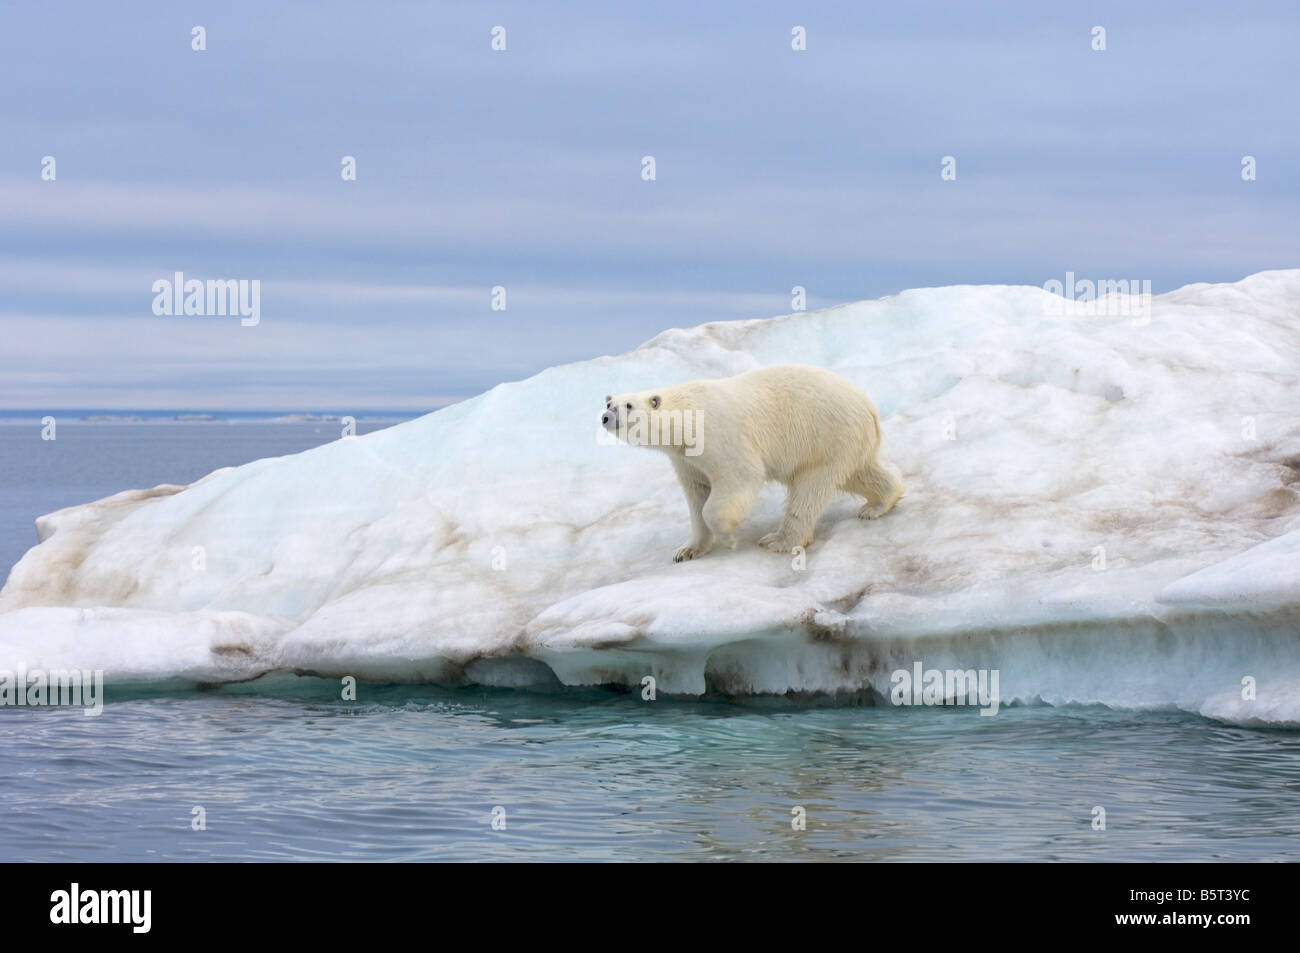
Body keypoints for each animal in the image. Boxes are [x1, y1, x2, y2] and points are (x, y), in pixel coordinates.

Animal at [601, 364, 902, 561]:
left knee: (809, 489)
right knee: (859, 472)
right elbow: (697, 494)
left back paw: (779, 540)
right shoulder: (685, 457)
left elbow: (739, 477)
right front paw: (687, 550)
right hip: (845, 443)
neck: (687, 415)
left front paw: (728, 538)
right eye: (608, 404)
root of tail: (868, 407)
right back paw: (879, 504)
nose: (605, 417)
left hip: (823, 436)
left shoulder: (718, 436)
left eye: (628, 405)